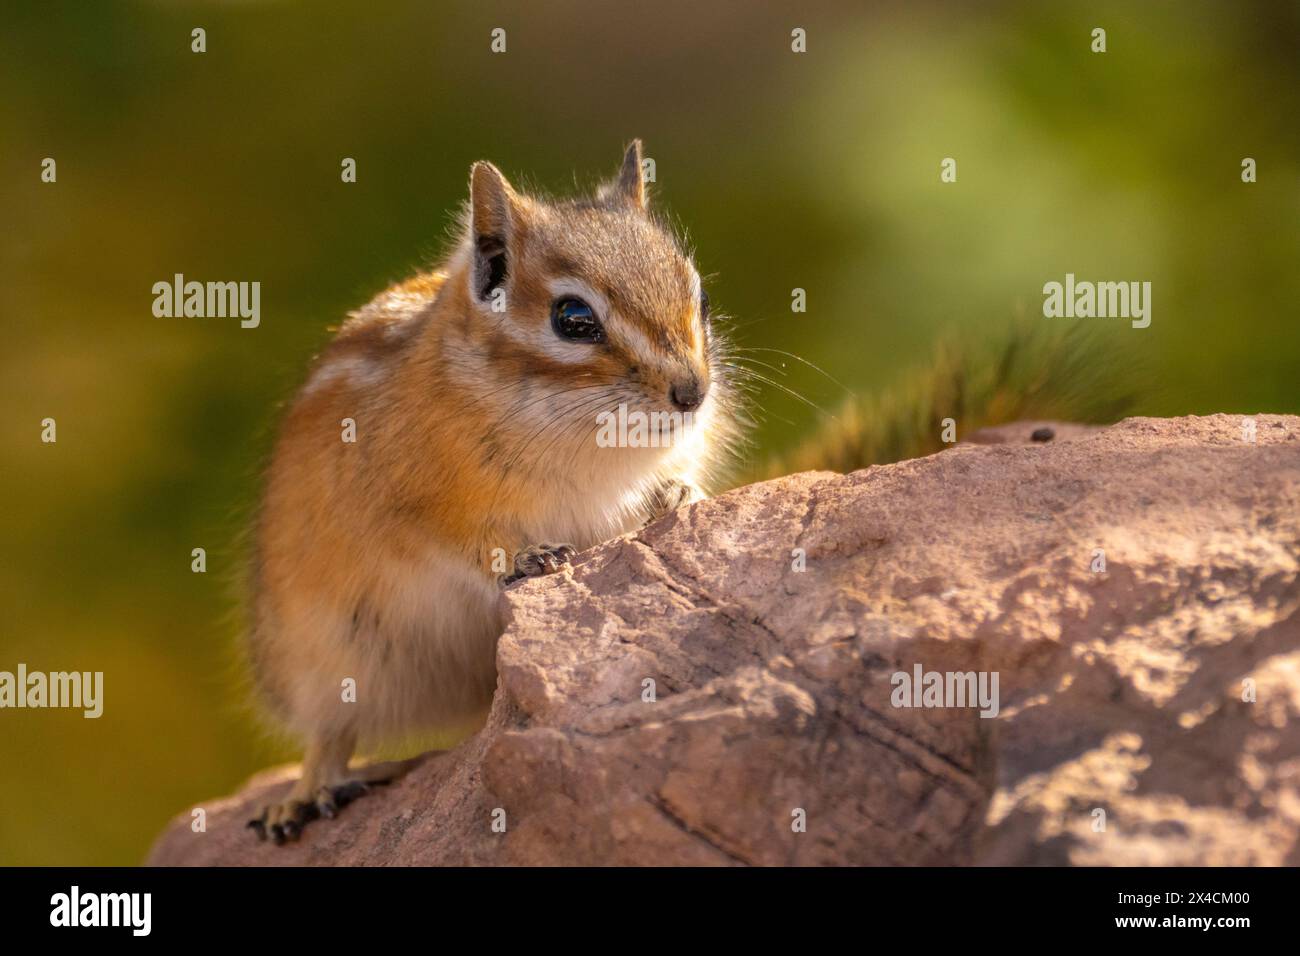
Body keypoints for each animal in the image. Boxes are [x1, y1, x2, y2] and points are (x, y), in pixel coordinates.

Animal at [246, 141, 740, 843]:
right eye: (573, 318)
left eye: (700, 295)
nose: (693, 393)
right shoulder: (419, 507)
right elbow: (462, 541)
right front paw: (529, 555)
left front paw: (676, 494)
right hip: (325, 653)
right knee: (330, 730)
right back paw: (303, 795)